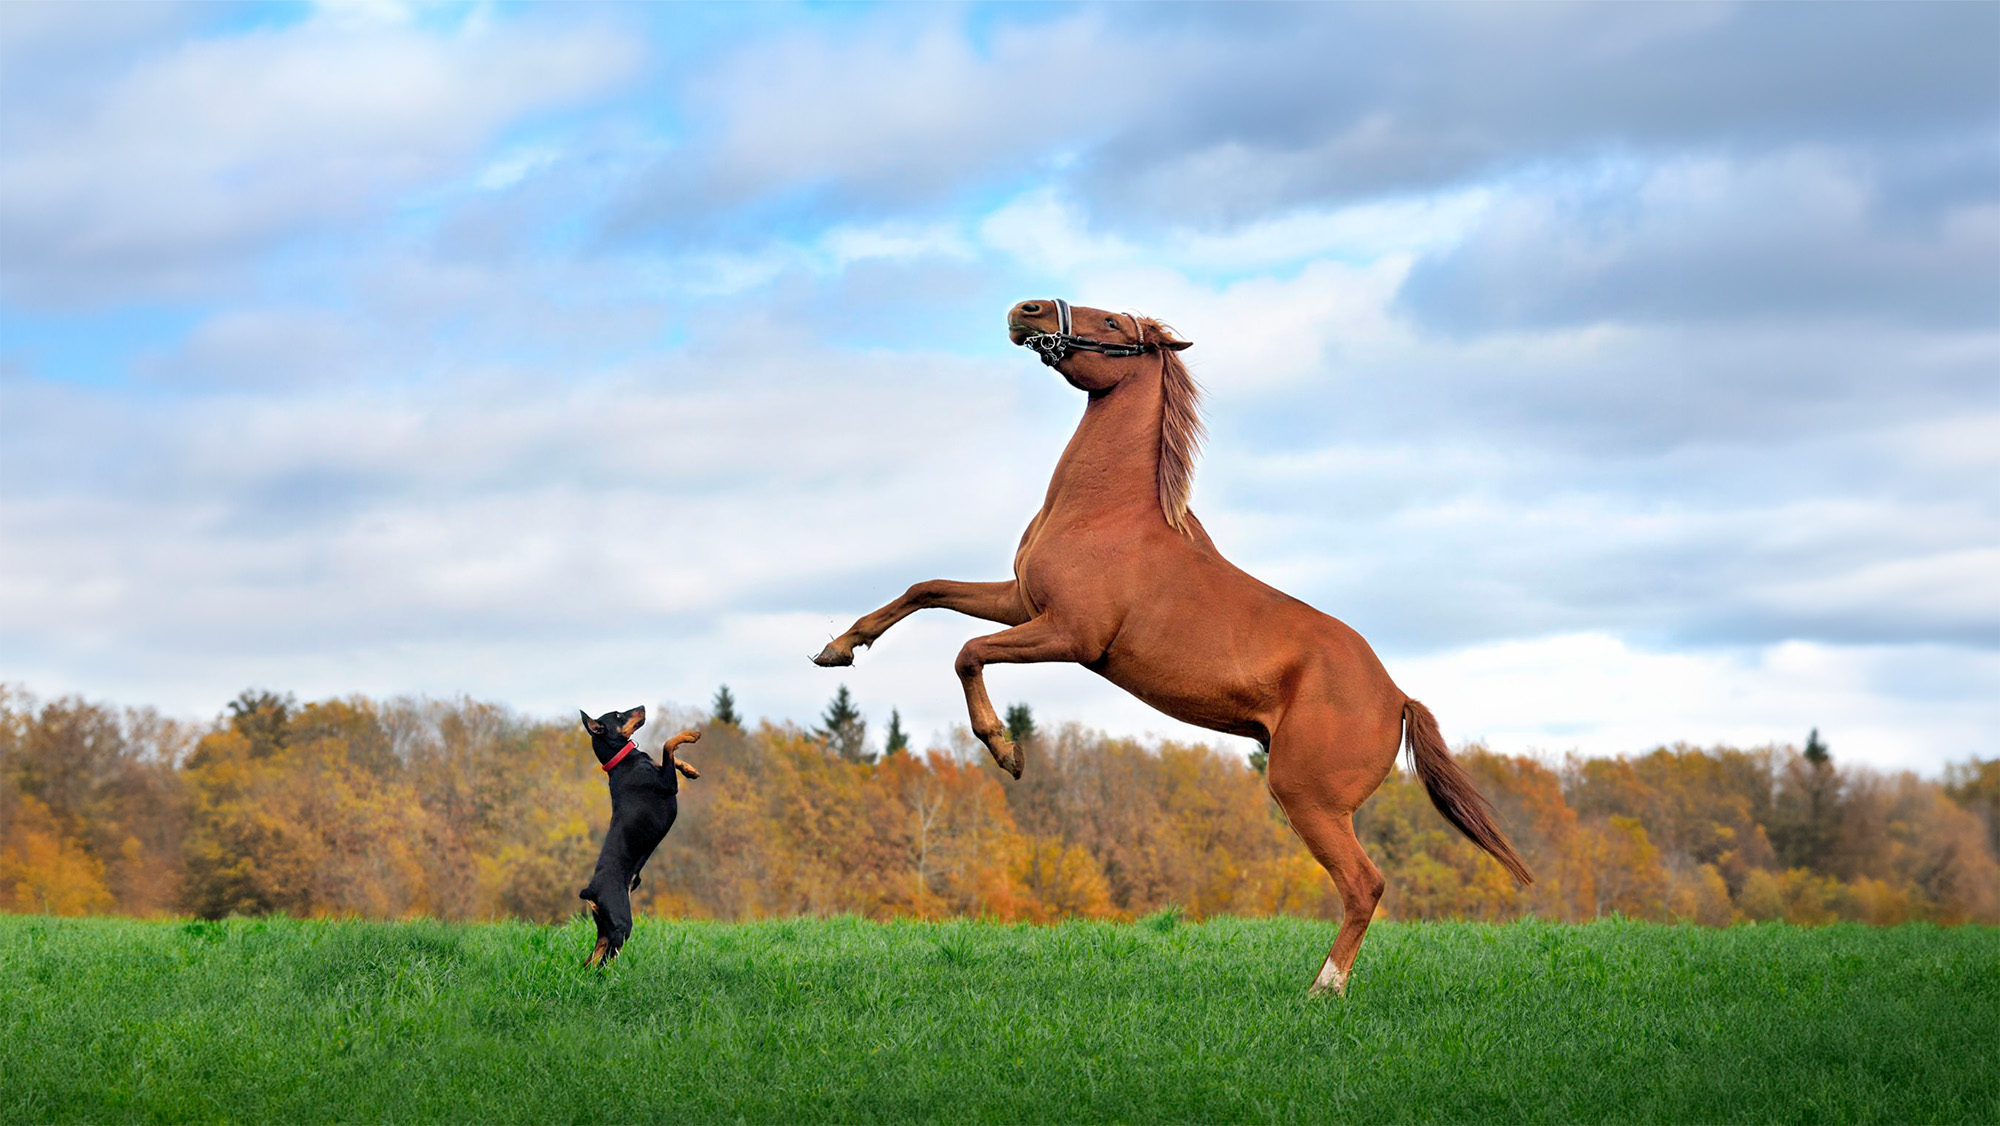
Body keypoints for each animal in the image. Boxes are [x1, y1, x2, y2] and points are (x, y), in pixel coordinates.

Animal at [812, 298, 1532, 994]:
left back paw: (1321, 990)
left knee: (1365, 884)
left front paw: (1006, 751)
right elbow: (926, 588)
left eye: (1110, 322)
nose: (1027, 312)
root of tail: (1398, 697)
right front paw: (839, 648)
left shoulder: (1069, 634)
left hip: (1308, 798)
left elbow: (967, 651)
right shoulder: (1022, 602)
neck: (1105, 513)